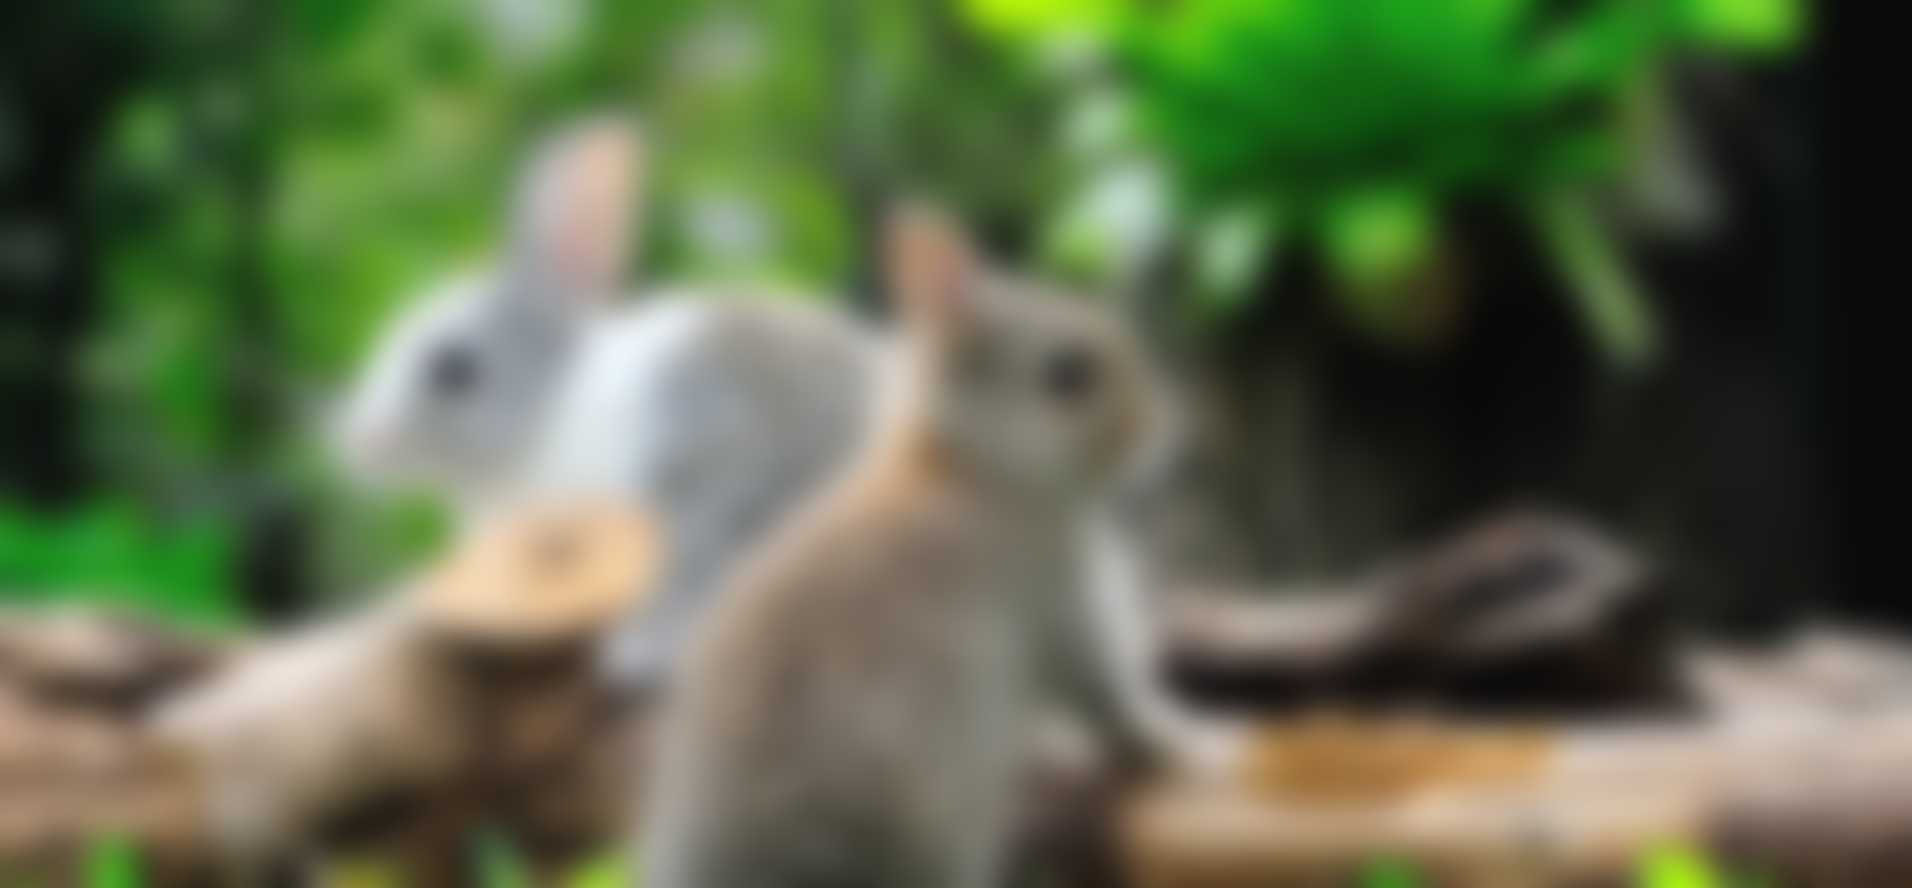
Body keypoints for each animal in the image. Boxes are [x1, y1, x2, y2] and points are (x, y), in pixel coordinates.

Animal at [335, 118, 883, 689]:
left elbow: (689, 559)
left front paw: (640, 655)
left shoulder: (708, 455)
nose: (361, 441)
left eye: (453, 368)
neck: (555, 409)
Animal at [639, 207, 1207, 888]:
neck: (976, 466)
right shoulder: (1062, 613)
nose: (1162, 428)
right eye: (1068, 374)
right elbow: (1113, 703)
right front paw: (1191, 746)